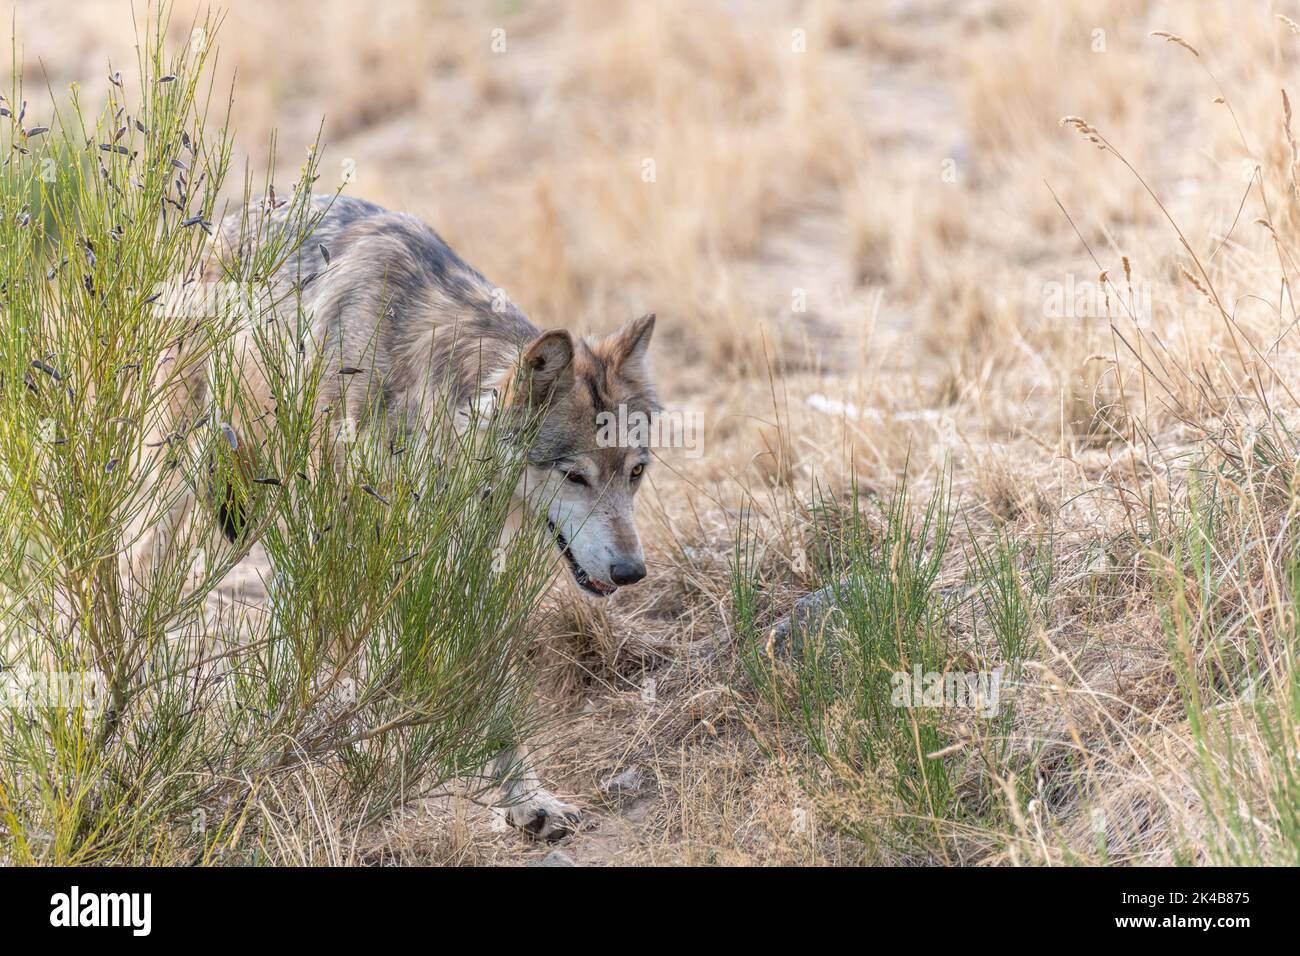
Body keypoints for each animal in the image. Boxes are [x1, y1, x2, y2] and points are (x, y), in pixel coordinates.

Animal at [135, 195, 659, 840]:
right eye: (575, 476)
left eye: (635, 473)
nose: (632, 572)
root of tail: (224, 220)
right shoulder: (337, 530)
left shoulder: (468, 560)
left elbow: (488, 684)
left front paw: (526, 798)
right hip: (190, 480)